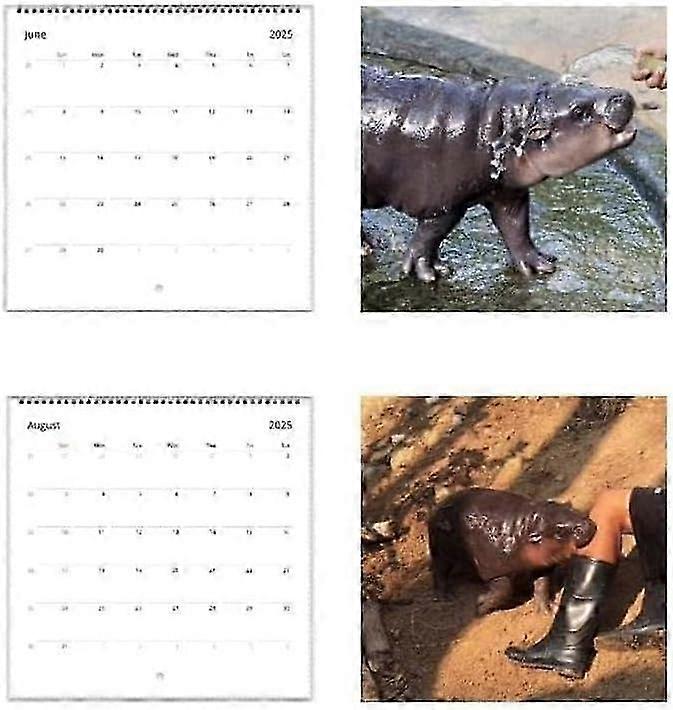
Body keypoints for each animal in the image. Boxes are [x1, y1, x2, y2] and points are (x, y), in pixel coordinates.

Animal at [361, 65, 637, 281]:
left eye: (577, 80)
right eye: (579, 111)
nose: (623, 95)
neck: (497, 125)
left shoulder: (506, 191)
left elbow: (516, 227)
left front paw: (539, 265)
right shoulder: (443, 202)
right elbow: (430, 236)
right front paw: (430, 273)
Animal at [428, 488, 596, 616]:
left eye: (571, 507)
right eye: (559, 532)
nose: (587, 524)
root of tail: (438, 506)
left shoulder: (541, 564)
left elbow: (542, 584)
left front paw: (548, 609)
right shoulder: (495, 571)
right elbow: (504, 590)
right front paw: (480, 606)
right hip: (440, 552)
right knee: (439, 571)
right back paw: (447, 597)